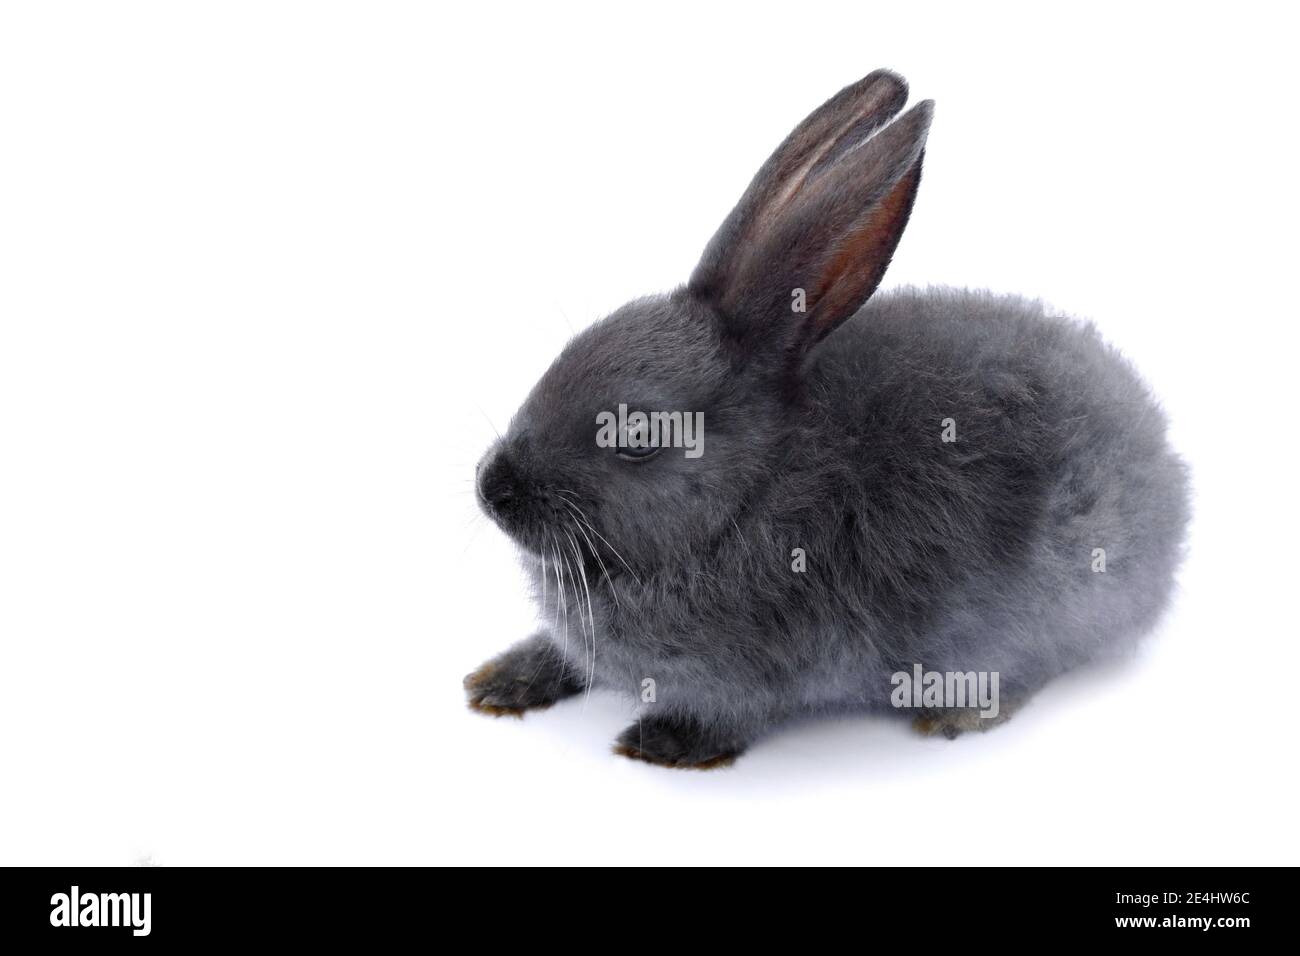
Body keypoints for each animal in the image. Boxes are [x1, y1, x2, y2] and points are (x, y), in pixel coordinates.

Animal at [465, 68, 1189, 768]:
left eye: (638, 434)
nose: (491, 488)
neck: (751, 494)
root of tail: (1160, 459)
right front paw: (499, 681)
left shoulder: (758, 673)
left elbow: (730, 711)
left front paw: (660, 744)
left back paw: (956, 713)